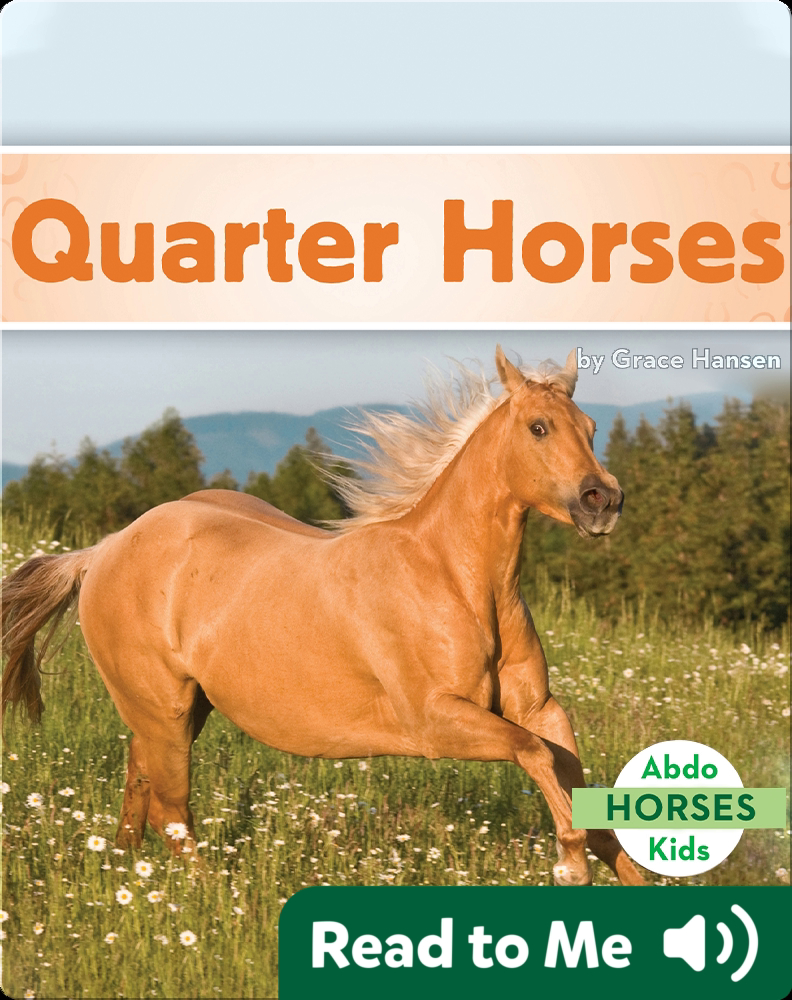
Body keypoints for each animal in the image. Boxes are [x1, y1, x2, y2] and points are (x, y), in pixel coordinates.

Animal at [2, 346, 645, 887]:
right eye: (539, 427)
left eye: (590, 429)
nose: (603, 501)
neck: (454, 580)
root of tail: (104, 549)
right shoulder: (436, 721)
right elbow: (536, 756)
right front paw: (568, 862)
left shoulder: (538, 708)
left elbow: (572, 777)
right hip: (163, 712)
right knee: (171, 813)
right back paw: (211, 897)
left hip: (178, 711)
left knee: (139, 792)